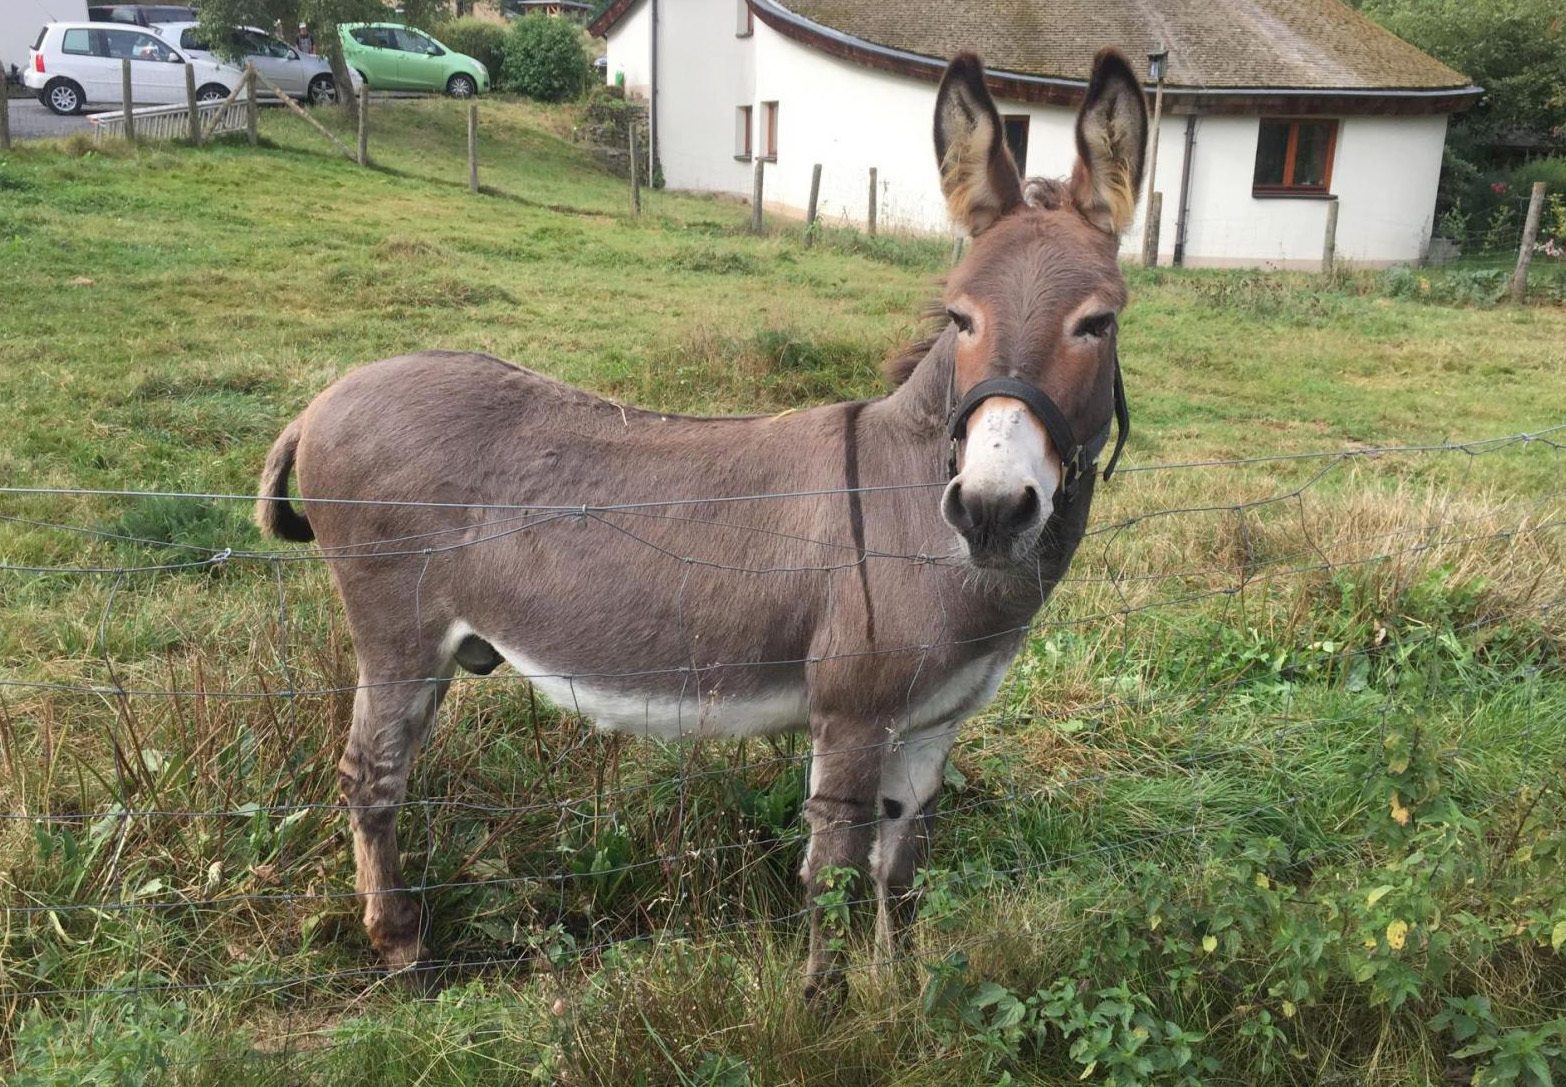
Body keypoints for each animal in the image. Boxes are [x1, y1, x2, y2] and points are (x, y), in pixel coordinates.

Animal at [256, 49, 1147, 1001]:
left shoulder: (932, 726)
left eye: (1099, 321)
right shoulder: (853, 714)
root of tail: (322, 400)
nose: (988, 508)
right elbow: (834, 871)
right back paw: (400, 947)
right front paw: (826, 1010)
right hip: (395, 632)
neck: (913, 497)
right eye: (959, 316)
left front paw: (906, 998)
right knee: (371, 776)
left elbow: (900, 876)